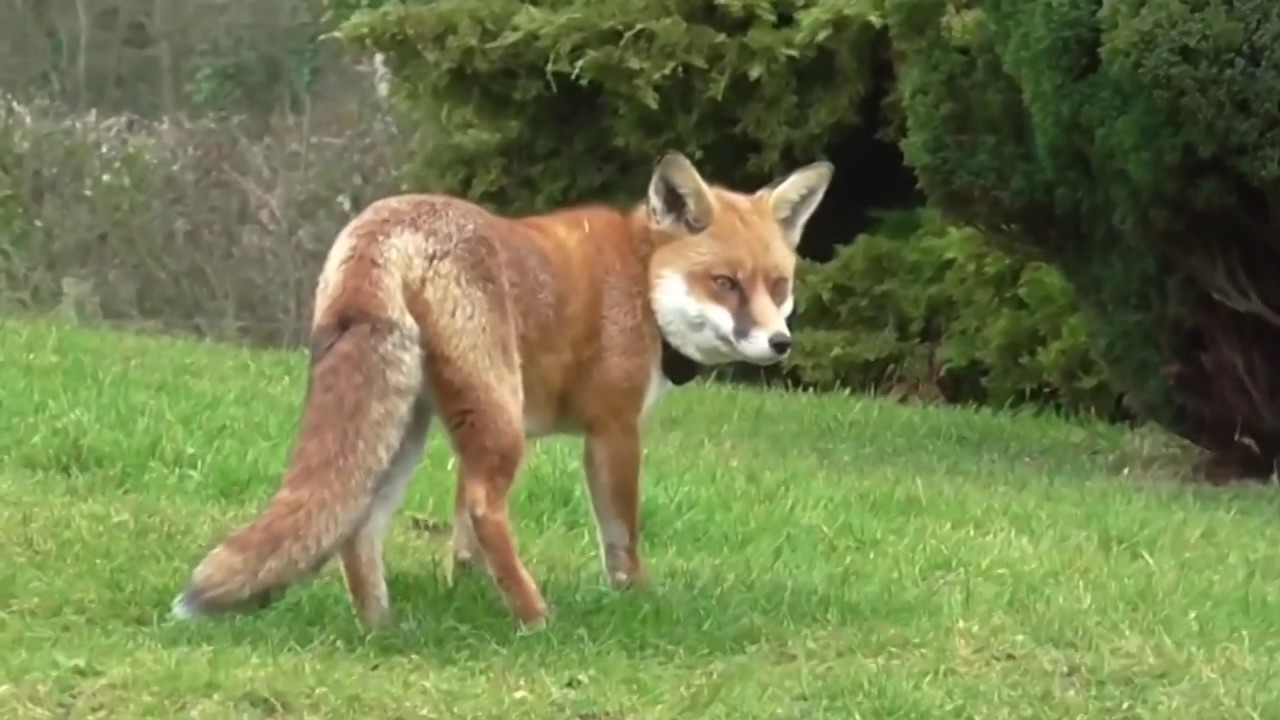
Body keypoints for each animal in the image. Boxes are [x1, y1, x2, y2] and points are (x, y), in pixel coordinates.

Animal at [170, 151, 834, 631]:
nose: (779, 344)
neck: (641, 282)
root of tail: (385, 226)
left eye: (778, 285)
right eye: (724, 283)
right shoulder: (613, 429)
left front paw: (462, 587)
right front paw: (635, 602)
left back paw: (381, 629)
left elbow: (460, 534)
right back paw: (534, 618)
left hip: (414, 426)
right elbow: (621, 538)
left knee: (361, 525)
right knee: (486, 507)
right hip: (497, 419)